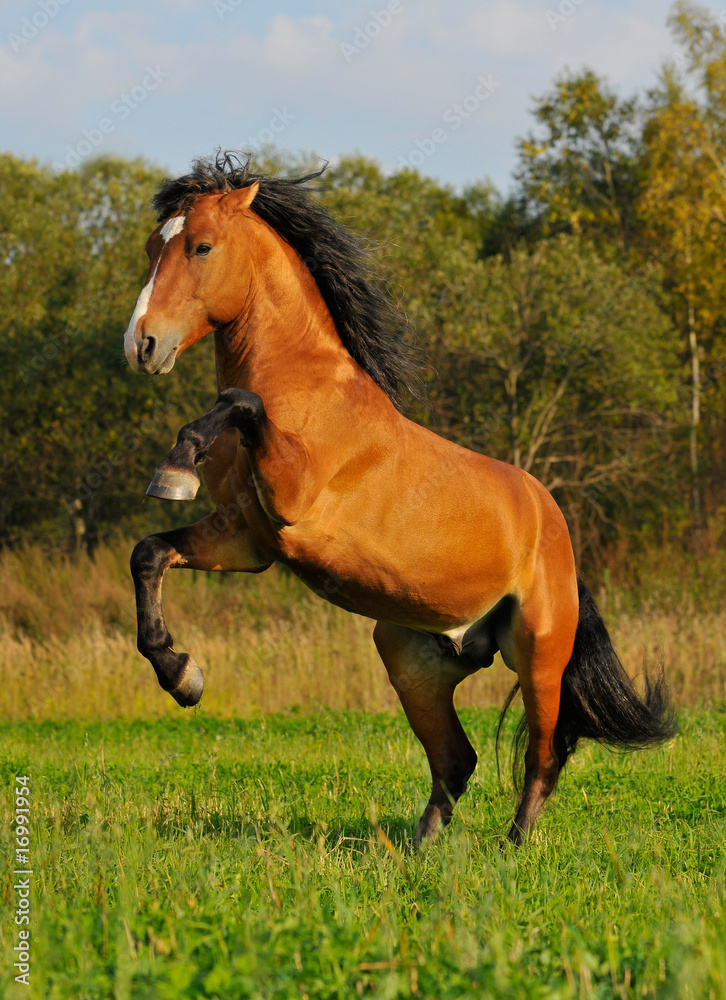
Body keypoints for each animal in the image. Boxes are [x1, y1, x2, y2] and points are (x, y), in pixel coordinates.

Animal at [124, 152, 674, 846]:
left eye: (200, 246)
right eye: (152, 247)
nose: (141, 345)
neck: (305, 386)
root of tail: (555, 528)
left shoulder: (290, 500)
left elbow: (238, 403)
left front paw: (175, 468)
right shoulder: (247, 537)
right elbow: (148, 553)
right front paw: (182, 676)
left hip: (540, 652)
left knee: (543, 754)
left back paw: (513, 845)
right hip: (411, 655)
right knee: (457, 759)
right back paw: (417, 847)